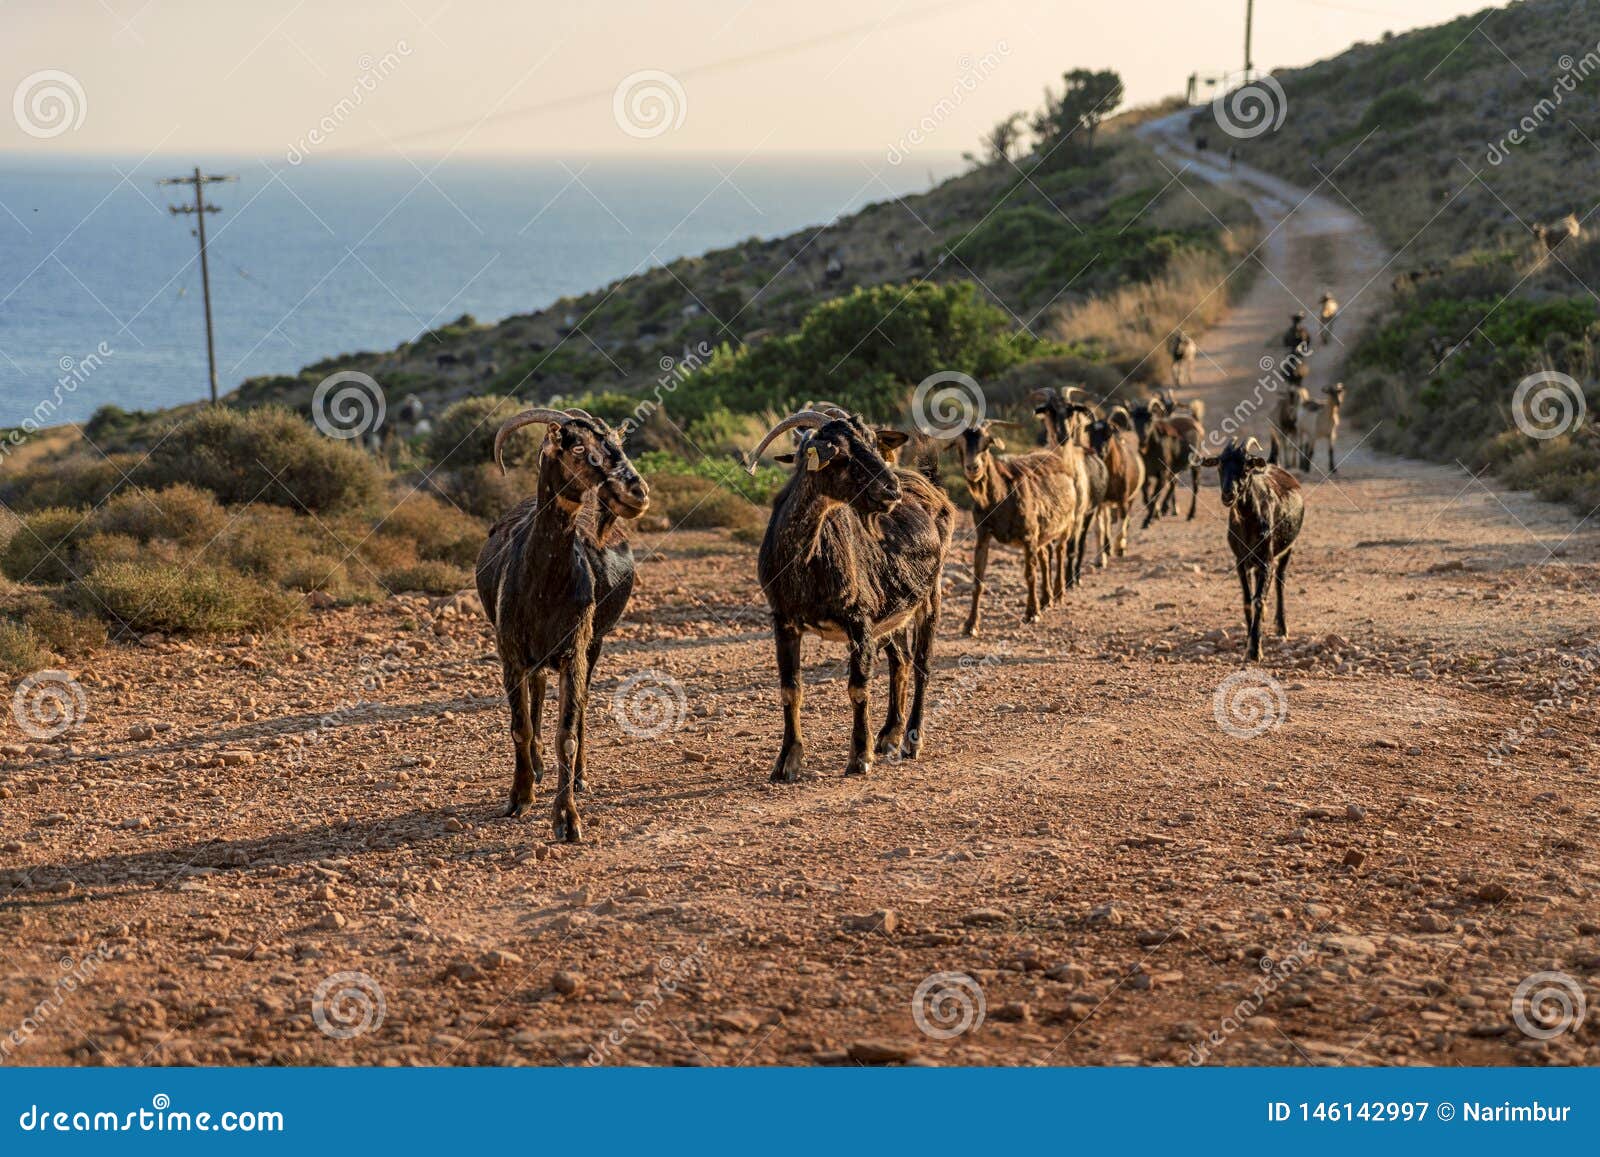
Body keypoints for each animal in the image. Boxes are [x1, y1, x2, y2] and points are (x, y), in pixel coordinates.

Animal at [476, 408, 650, 842]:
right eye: (577, 448)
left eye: (617, 443)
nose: (636, 492)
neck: (542, 584)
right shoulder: (510, 654)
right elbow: (520, 727)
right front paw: (519, 796)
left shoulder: (575, 649)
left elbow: (567, 734)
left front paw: (567, 817)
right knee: (537, 694)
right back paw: (536, 766)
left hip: (595, 644)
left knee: (582, 705)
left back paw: (579, 776)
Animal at [747, 410, 953, 781]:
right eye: (841, 454)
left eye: (872, 442)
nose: (891, 490)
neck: (805, 560)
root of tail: (931, 485)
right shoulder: (783, 620)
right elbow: (790, 689)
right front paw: (787, 761)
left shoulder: (859, 619)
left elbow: (858, 687)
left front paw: (860, 757)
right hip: (894, 611)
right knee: (901, 661)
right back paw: (889, 735)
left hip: (930, 596)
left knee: (922, 664)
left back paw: (911, 741)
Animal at [954, 419, 1081, 633]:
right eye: (959, 445)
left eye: (987, 443)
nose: (973, 468)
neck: (1001, 497)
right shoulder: (982, 534)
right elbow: (978, 579)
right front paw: (971, 624)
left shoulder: (1028, 535)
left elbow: (1029, 574)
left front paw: (1031, 614)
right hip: (1042, 531)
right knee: (1044, 556)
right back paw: (1046, 599)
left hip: (1066, 522)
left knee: (1060, 550)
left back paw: (1058, 594)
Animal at [1086, 406, 1146, 561]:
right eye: (1091, 433)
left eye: (1108, 433)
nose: (1099, 452)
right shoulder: (1099, 502)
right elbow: (1099, 528)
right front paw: (1099, 559)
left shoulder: (1123, 499)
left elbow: (1122, 524)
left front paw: (1120, 548)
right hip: (1106, 503)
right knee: (1107, 521)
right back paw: (1107, 549)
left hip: (1131, 498)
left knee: (1125, 520)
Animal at [1199, 438, 1304, 662]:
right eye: (1220, 465)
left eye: (1246, 467)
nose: (1228, 494)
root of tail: (1273, 463)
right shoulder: (1240, 561)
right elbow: (1248, 600)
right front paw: (1249, 639)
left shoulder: (1267, 560)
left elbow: (1258, 600)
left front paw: (1255, 649)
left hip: (1287, 549)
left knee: (1280, 581)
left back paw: (1282, 628)